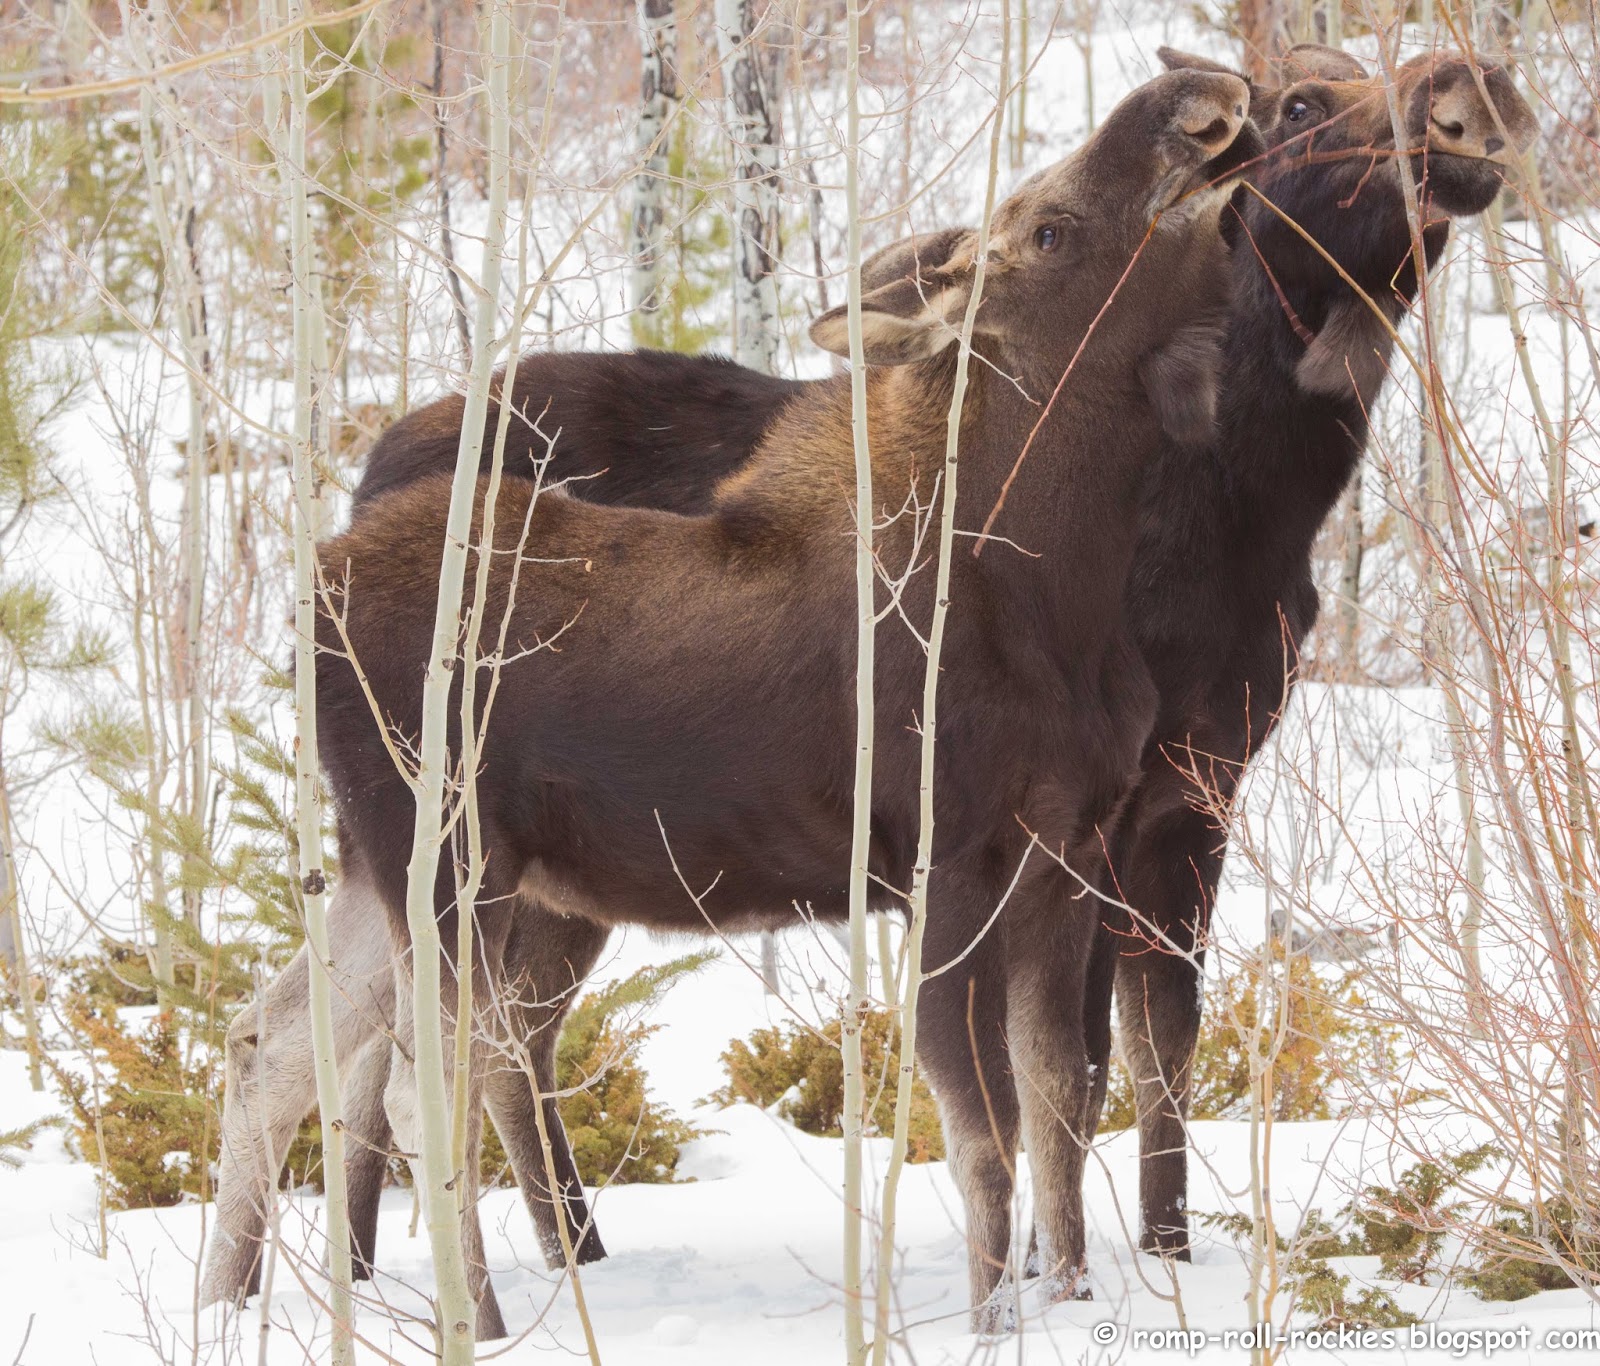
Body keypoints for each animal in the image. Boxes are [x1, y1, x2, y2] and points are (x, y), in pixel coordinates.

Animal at [304, 69, 1258, 1337]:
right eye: (1048, 231)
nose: (1189, 93)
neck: (1062, 572)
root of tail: (317, 583)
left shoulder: (1065, 855)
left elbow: (1060, 1099)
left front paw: (1067, 1290)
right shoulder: (943, 862)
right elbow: (982, 1125)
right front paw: (990, 1314)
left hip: (504, 886)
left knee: (435, 1063)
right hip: (439, 862)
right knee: (423, 1087)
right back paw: (483, 1321)